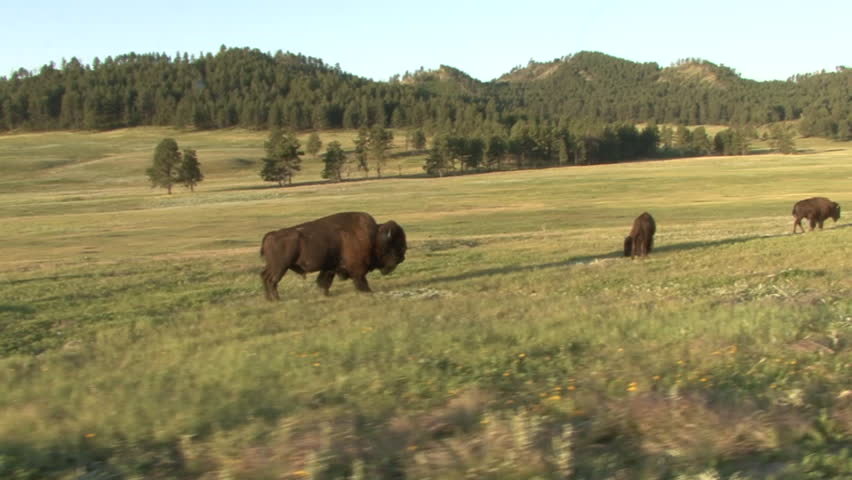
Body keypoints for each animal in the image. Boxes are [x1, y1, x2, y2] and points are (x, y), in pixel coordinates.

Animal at [260, 211, 407, 300]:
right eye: (394, 244)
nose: (402, 257)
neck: (374, 236)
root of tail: (270, 235)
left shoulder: (329, 268)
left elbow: (324, 282)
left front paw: (324, 295)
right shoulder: (357, 270)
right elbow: (361, 282)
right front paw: (368, 292)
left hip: (273, 266)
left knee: (264, 276)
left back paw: (269, 299)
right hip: (280, 267)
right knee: (272, 280)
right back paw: (277, 299)